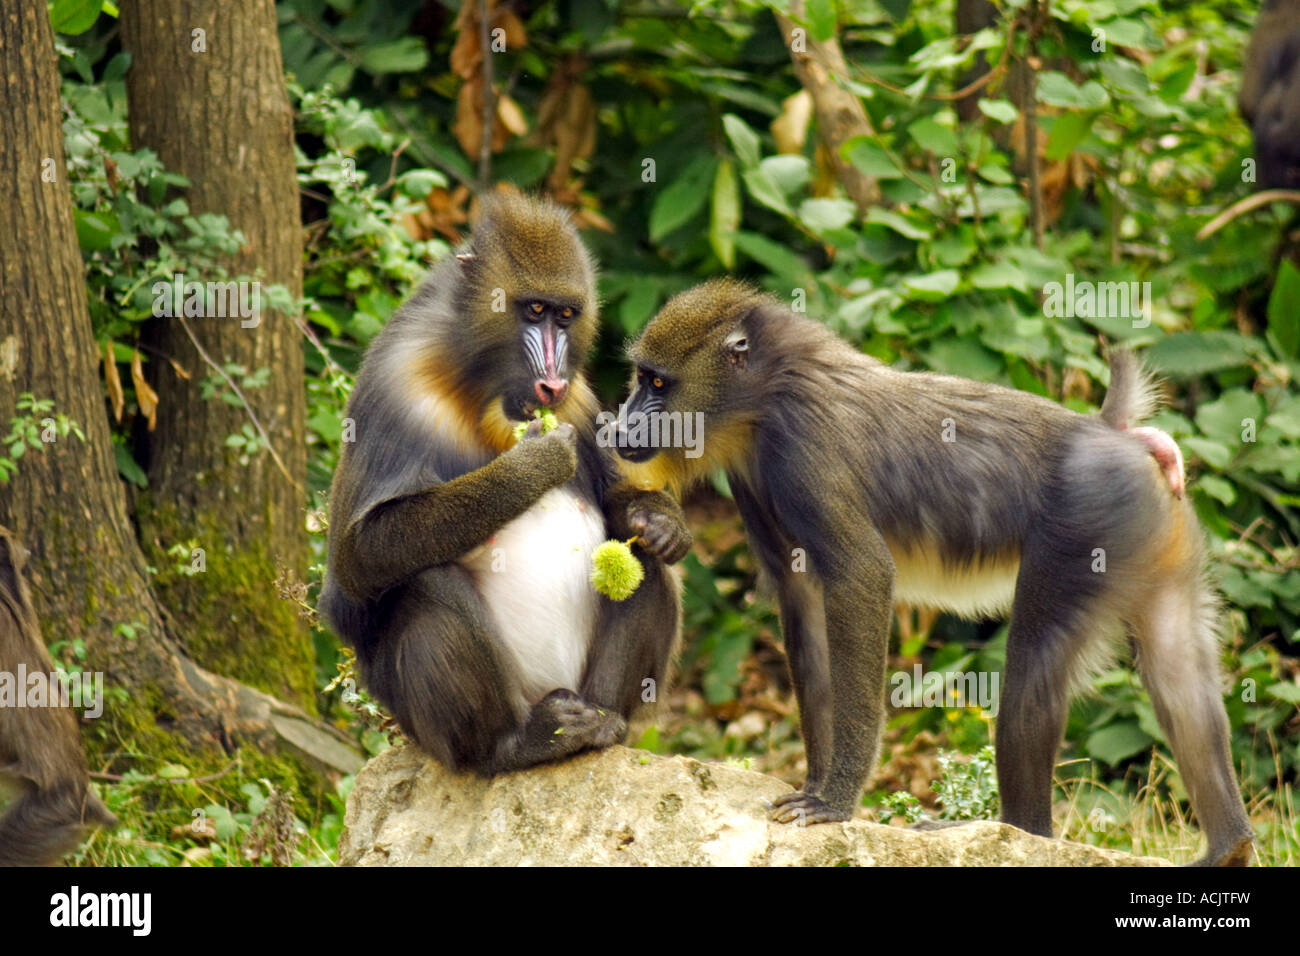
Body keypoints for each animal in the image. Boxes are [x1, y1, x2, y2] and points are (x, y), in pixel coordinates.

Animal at [318, 193, 690, 777]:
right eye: (533, 311)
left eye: (565, 315)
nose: (552, 382)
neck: (476, 390)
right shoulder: (394, 387)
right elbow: (359, 560)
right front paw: (535, 462)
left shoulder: (580, 400)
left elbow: (620, 507)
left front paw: (660, 521)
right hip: (436, 726)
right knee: (428, 581)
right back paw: (517, 744)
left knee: (646, 564)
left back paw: (600, 724)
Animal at [613, 279, 1254, 867]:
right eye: (641, 378)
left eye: (658, 383)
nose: (621, 423)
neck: (763, 396)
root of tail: (1116, 438)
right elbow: (804, 605)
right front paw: (817, 787)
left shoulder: (804, 452)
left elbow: (863, 574)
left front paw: (835, 801)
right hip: (1156, 548)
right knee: (1177, 669)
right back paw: (1230, 848)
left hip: (1083, 531)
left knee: (1036, 665)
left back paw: (1019, 832)